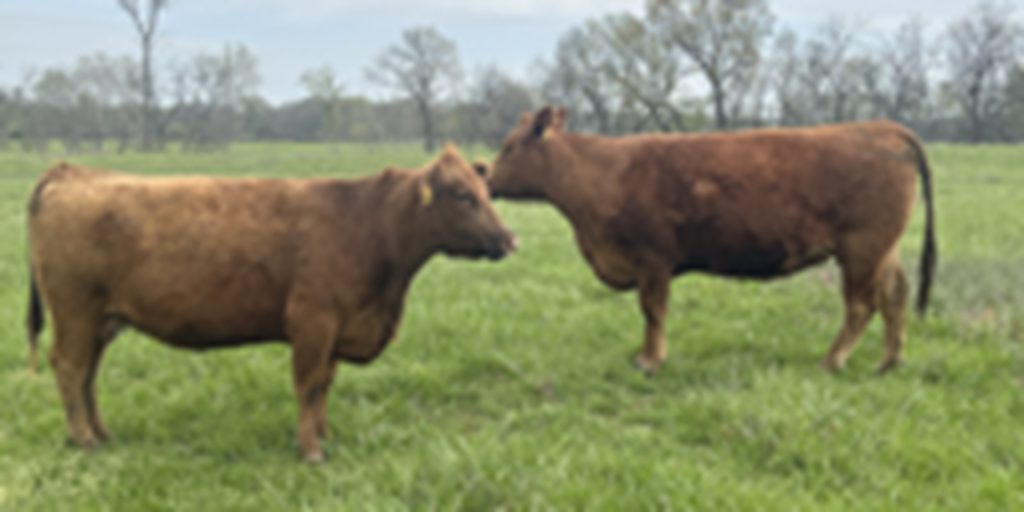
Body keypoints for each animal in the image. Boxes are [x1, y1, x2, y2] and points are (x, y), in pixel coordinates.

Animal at [26, 144, 517, 462]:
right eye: (463, 195)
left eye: (486, 191)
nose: (510, 239)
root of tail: (73, 172)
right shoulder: (313, 324)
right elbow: (308, 386)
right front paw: (311, 449)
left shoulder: (336, 330)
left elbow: (324, 386)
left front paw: (325, 435)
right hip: (74, 313)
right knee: (69, 368)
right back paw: (84, 440)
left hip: (103, 320)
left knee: (88, 373)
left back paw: (101, 432)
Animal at [484, 106, 936, 375]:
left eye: (508, 148)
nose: (484, 179)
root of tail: (882, 128)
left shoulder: (653, 262)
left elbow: (653, 313)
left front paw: (650, 360)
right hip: (883, 249)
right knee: (895, 295)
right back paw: (891, 361)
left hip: (862, 248)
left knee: (861, 305)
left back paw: (832, 361)